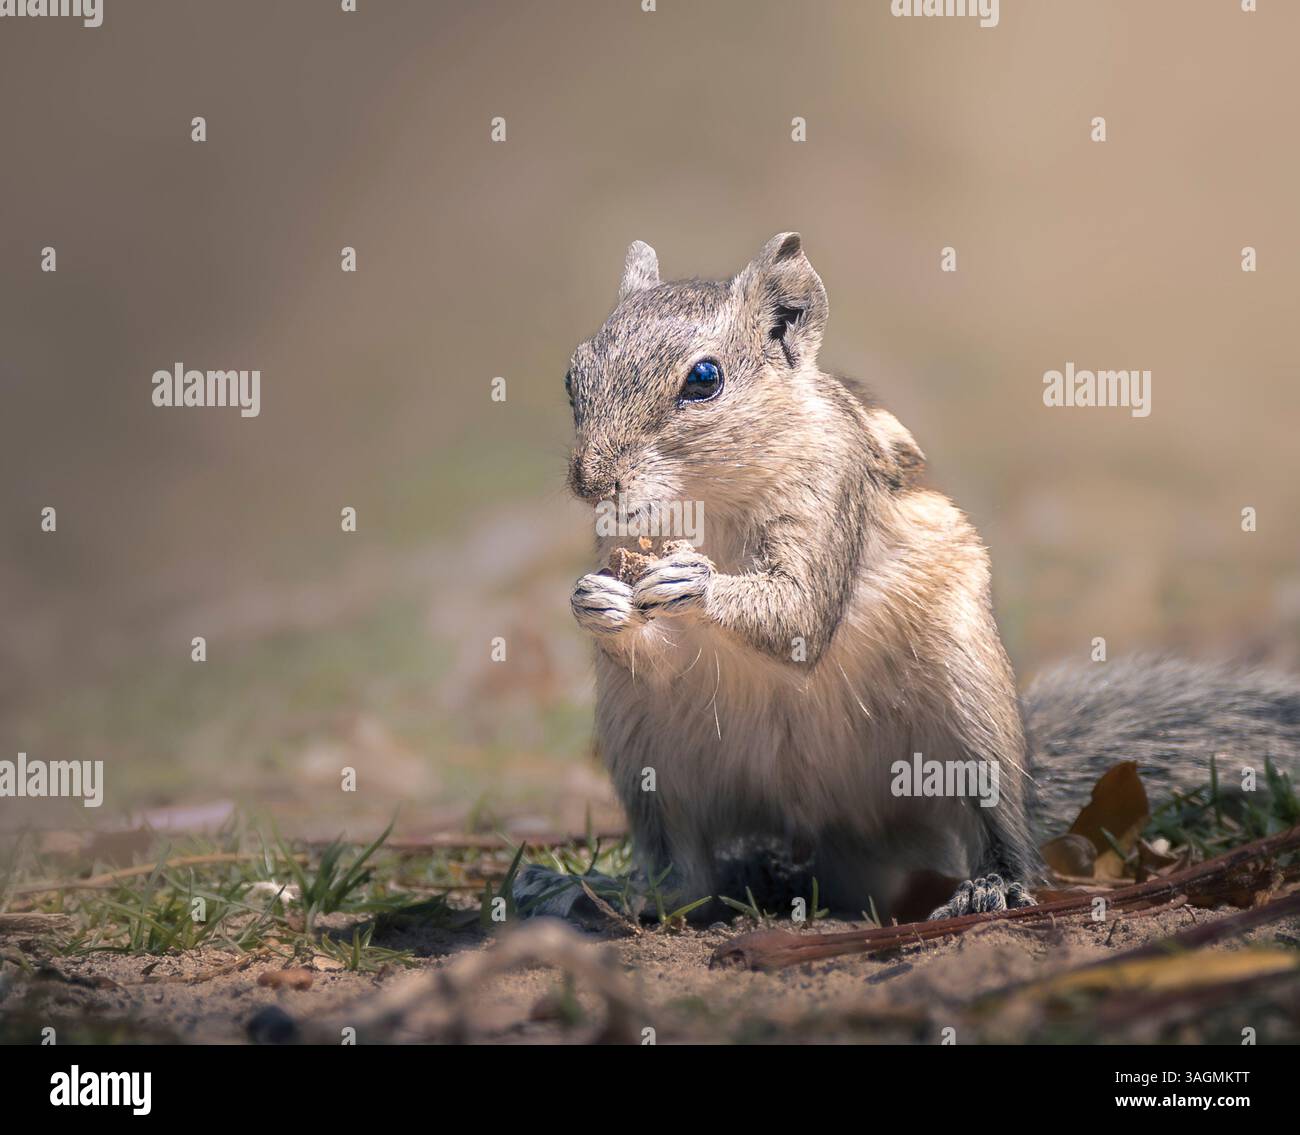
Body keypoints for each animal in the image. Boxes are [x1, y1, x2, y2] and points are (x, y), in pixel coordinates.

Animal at [514, 233, 1300, 924]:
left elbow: (800, 615)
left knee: (1002, 829)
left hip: (969, 712)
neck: (711, 499)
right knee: (690, 874)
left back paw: (993, 884)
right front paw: (596, 601)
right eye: (572, 375)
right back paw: (621, 893)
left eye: (704, 379)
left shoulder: (830, 500)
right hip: (643, 756)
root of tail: (824, 831)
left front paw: (694, 583)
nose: (591, 482)